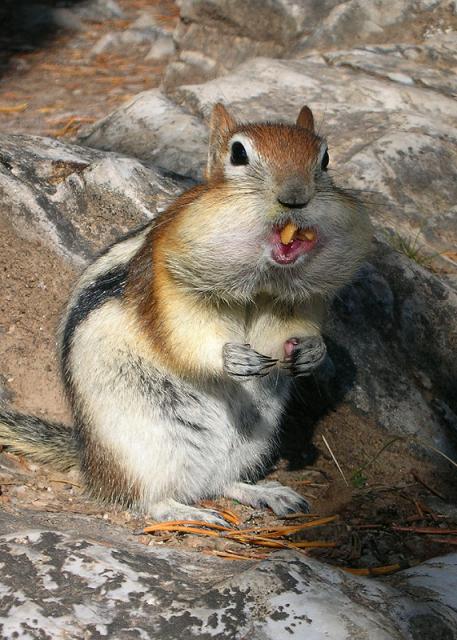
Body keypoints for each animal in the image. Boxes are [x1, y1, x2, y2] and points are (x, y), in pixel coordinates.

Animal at [0, 104, 371, 524]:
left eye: (324, 158)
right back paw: (192, 513)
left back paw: (267, 494)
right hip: (145, 446)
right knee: (150, 501)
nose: (296, 198)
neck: (260, 285)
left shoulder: (293, 304)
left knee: (221, 483)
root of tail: (90, 460)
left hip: (251, 439)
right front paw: (231, 357)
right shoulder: (169, 293)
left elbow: (289, 332)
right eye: (238, 154)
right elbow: (185, 337)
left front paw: (313, 350)